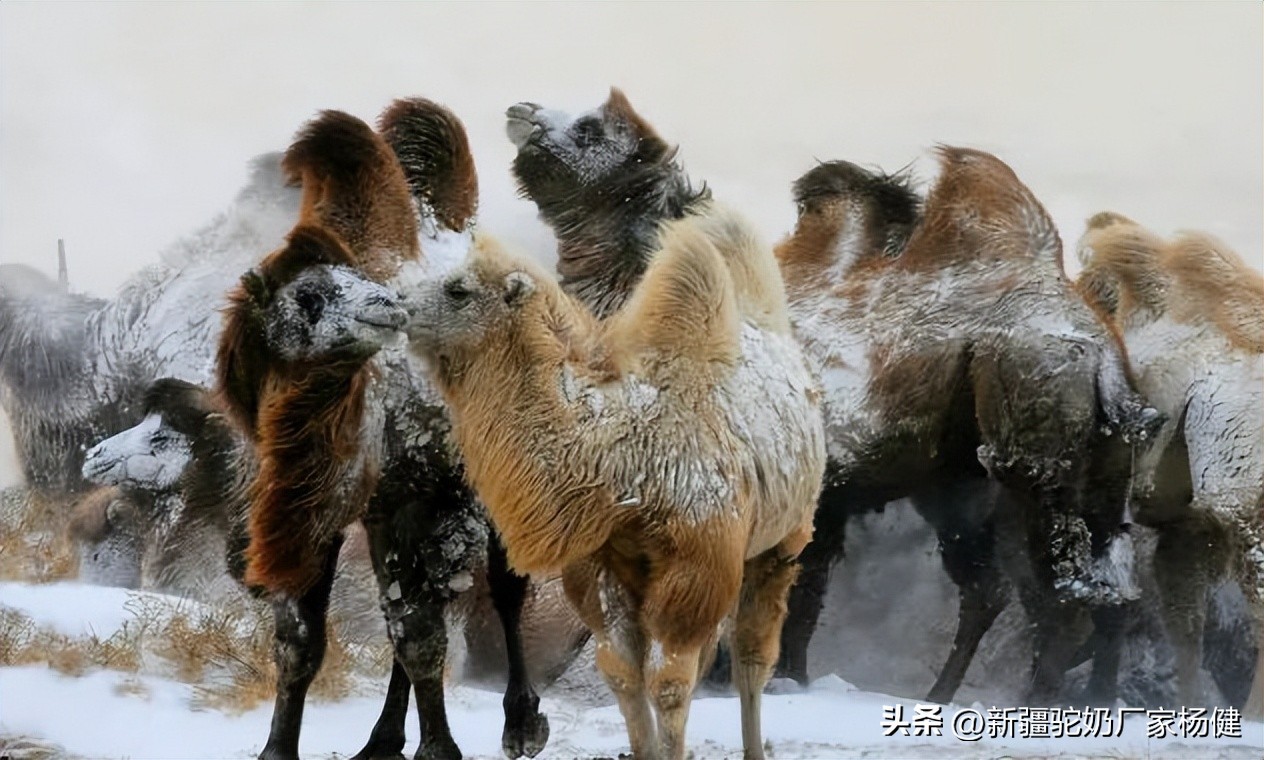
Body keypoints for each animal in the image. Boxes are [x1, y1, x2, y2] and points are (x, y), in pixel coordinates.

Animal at [216, 103, 550, 760]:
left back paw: (521, 724)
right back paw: (382, 739)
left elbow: (420, 635)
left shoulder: (416, 503)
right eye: (309, 294)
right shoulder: (315, 514)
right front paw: (277, 748)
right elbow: (300, 642)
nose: (389, 307)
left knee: (501, 590)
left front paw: (441, 749)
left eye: (359, 277)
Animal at [396, 202, 825, 760]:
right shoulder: (603, 565)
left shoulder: (696, 568)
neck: (623, 458)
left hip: (783, 541)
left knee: (752, 656)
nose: (394, 303)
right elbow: (624, 676)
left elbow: (669, 686)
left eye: (458, 289)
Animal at [504, 91, 1159, 706]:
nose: (523, 111)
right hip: (1032, 475)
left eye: (592, 129)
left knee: (1061, 592)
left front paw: (759, 680)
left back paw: (1036, 700)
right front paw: (782, 678)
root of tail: (1103, 349)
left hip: (1031, 446)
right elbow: (800, 596)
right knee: (1064, 586)